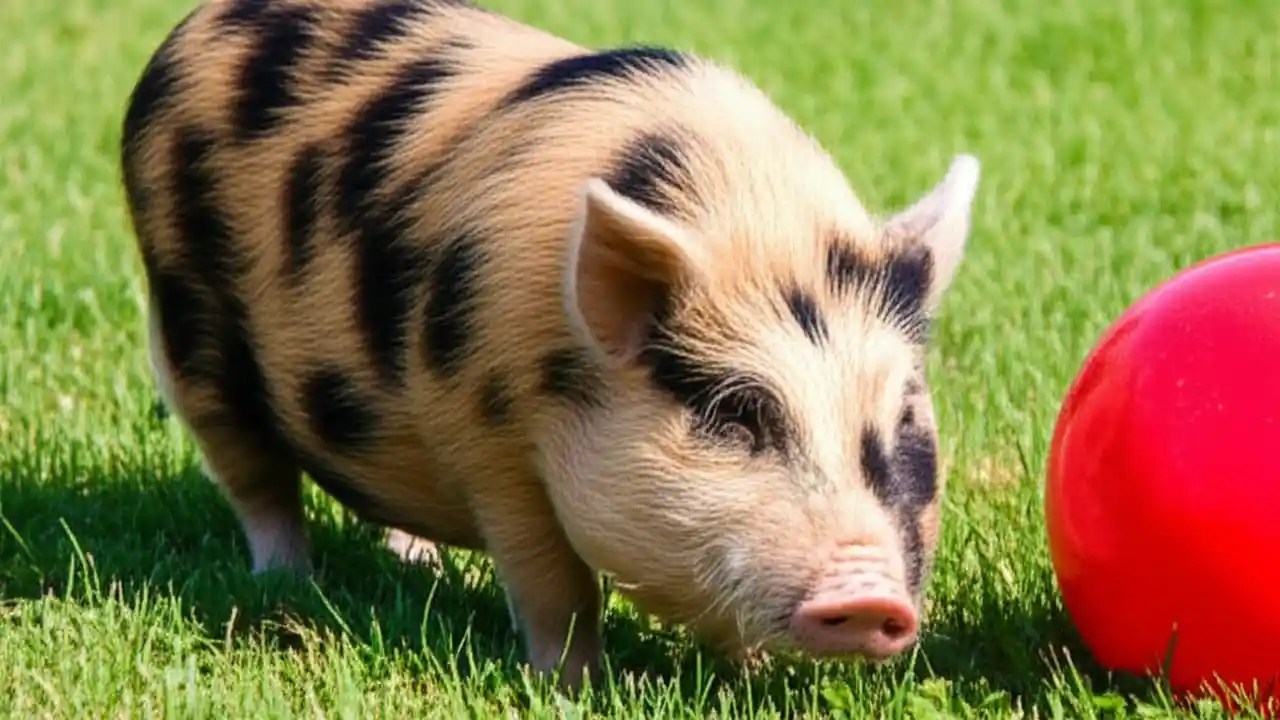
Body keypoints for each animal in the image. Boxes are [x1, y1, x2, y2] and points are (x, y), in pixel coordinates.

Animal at [119, 0, 980, 689]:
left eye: (904, 422)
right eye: (734, 414)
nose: (870, 596)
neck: (755, 224)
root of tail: (198, 26)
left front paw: (754, 677)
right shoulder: (488, 440)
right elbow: (552, 586)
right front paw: (575, 688)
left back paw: (413, 561)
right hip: (187, 325)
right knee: (254, 480)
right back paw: (288, 585)